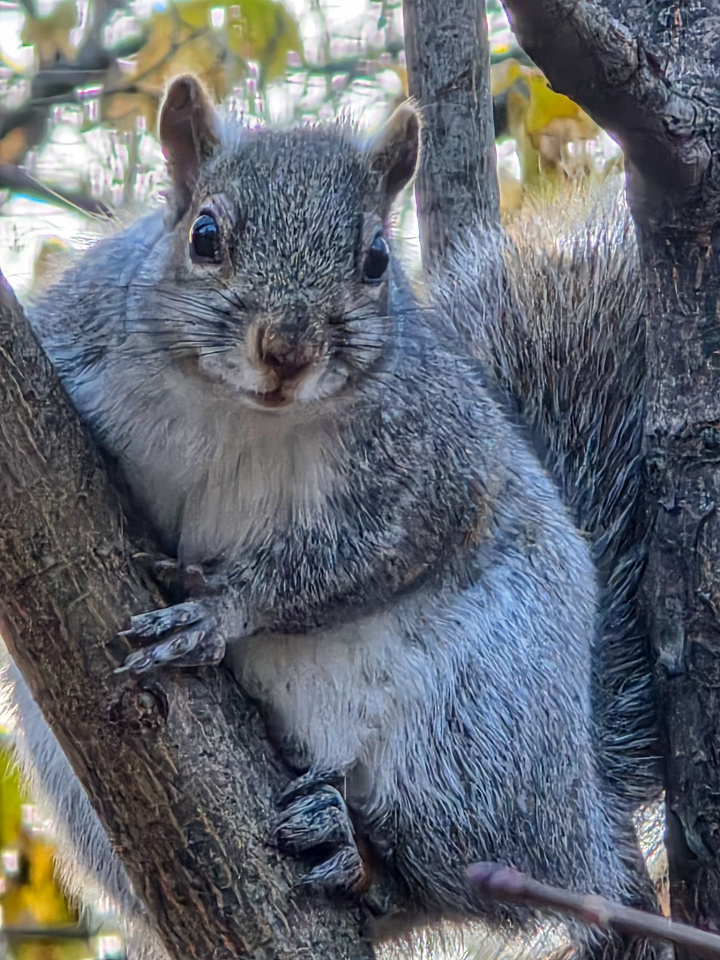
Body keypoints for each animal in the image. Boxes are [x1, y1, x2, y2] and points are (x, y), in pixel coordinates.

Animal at [1, 75, 658, 959]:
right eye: (204, 236)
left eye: (376, 259)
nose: (286, 348)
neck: (241, 415)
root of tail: (586, 791)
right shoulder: (71, 342)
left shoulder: (434, 463)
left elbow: (366, 558)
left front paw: (219, 610)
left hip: (482, 729)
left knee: (455, 873)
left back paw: (356, 851)